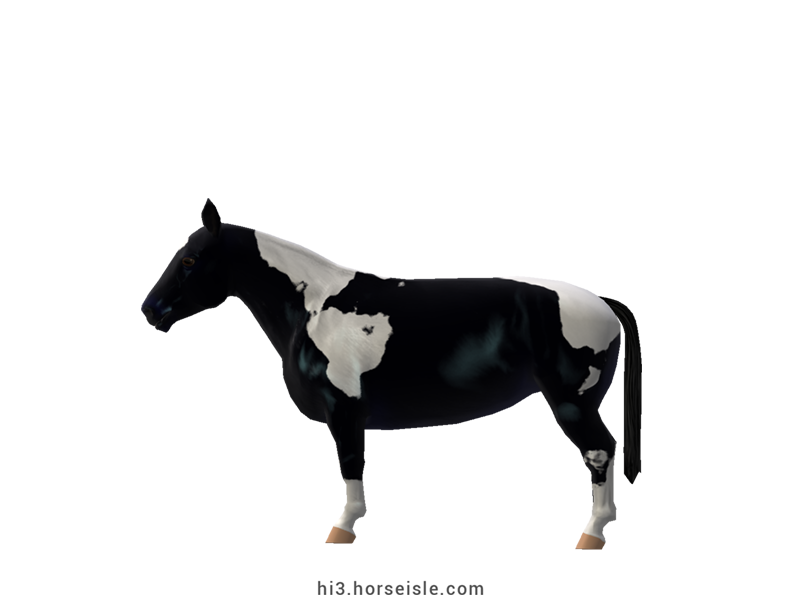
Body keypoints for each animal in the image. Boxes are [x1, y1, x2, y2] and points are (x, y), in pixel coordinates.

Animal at [142, 202, 641, 540]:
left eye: (189, 259)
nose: (152, 308)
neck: (313, 305)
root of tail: (604, 305)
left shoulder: (342, 406)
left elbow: (350, 462)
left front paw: (349, 525)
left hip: (574, 400)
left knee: (598, 454)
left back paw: (596, 529)